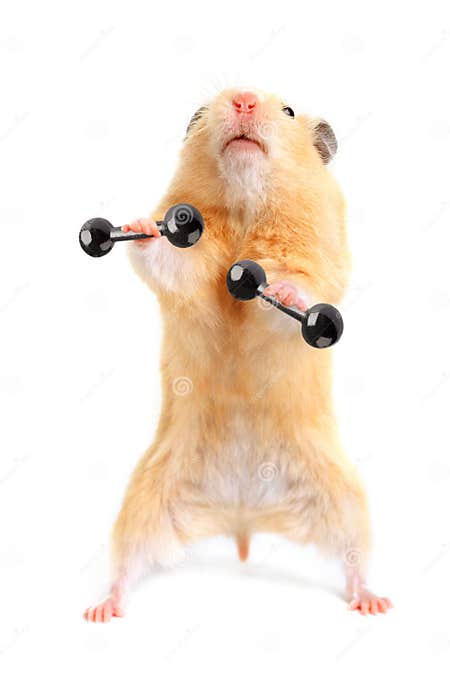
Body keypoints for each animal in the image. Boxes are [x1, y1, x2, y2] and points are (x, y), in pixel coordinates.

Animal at [84, 88, 392, 622]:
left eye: (287, 110)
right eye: (213, 101)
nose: (244, 99)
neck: (248, 205)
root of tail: (243, 513)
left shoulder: (317, 258)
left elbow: (297, 287)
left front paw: (285, 294)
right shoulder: (193, 273)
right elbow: (170, 260)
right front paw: (145, 226)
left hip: (344, 497)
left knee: (354, 557)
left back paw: (374, 602)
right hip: (144, 500)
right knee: (126, 561)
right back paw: (102, 608)